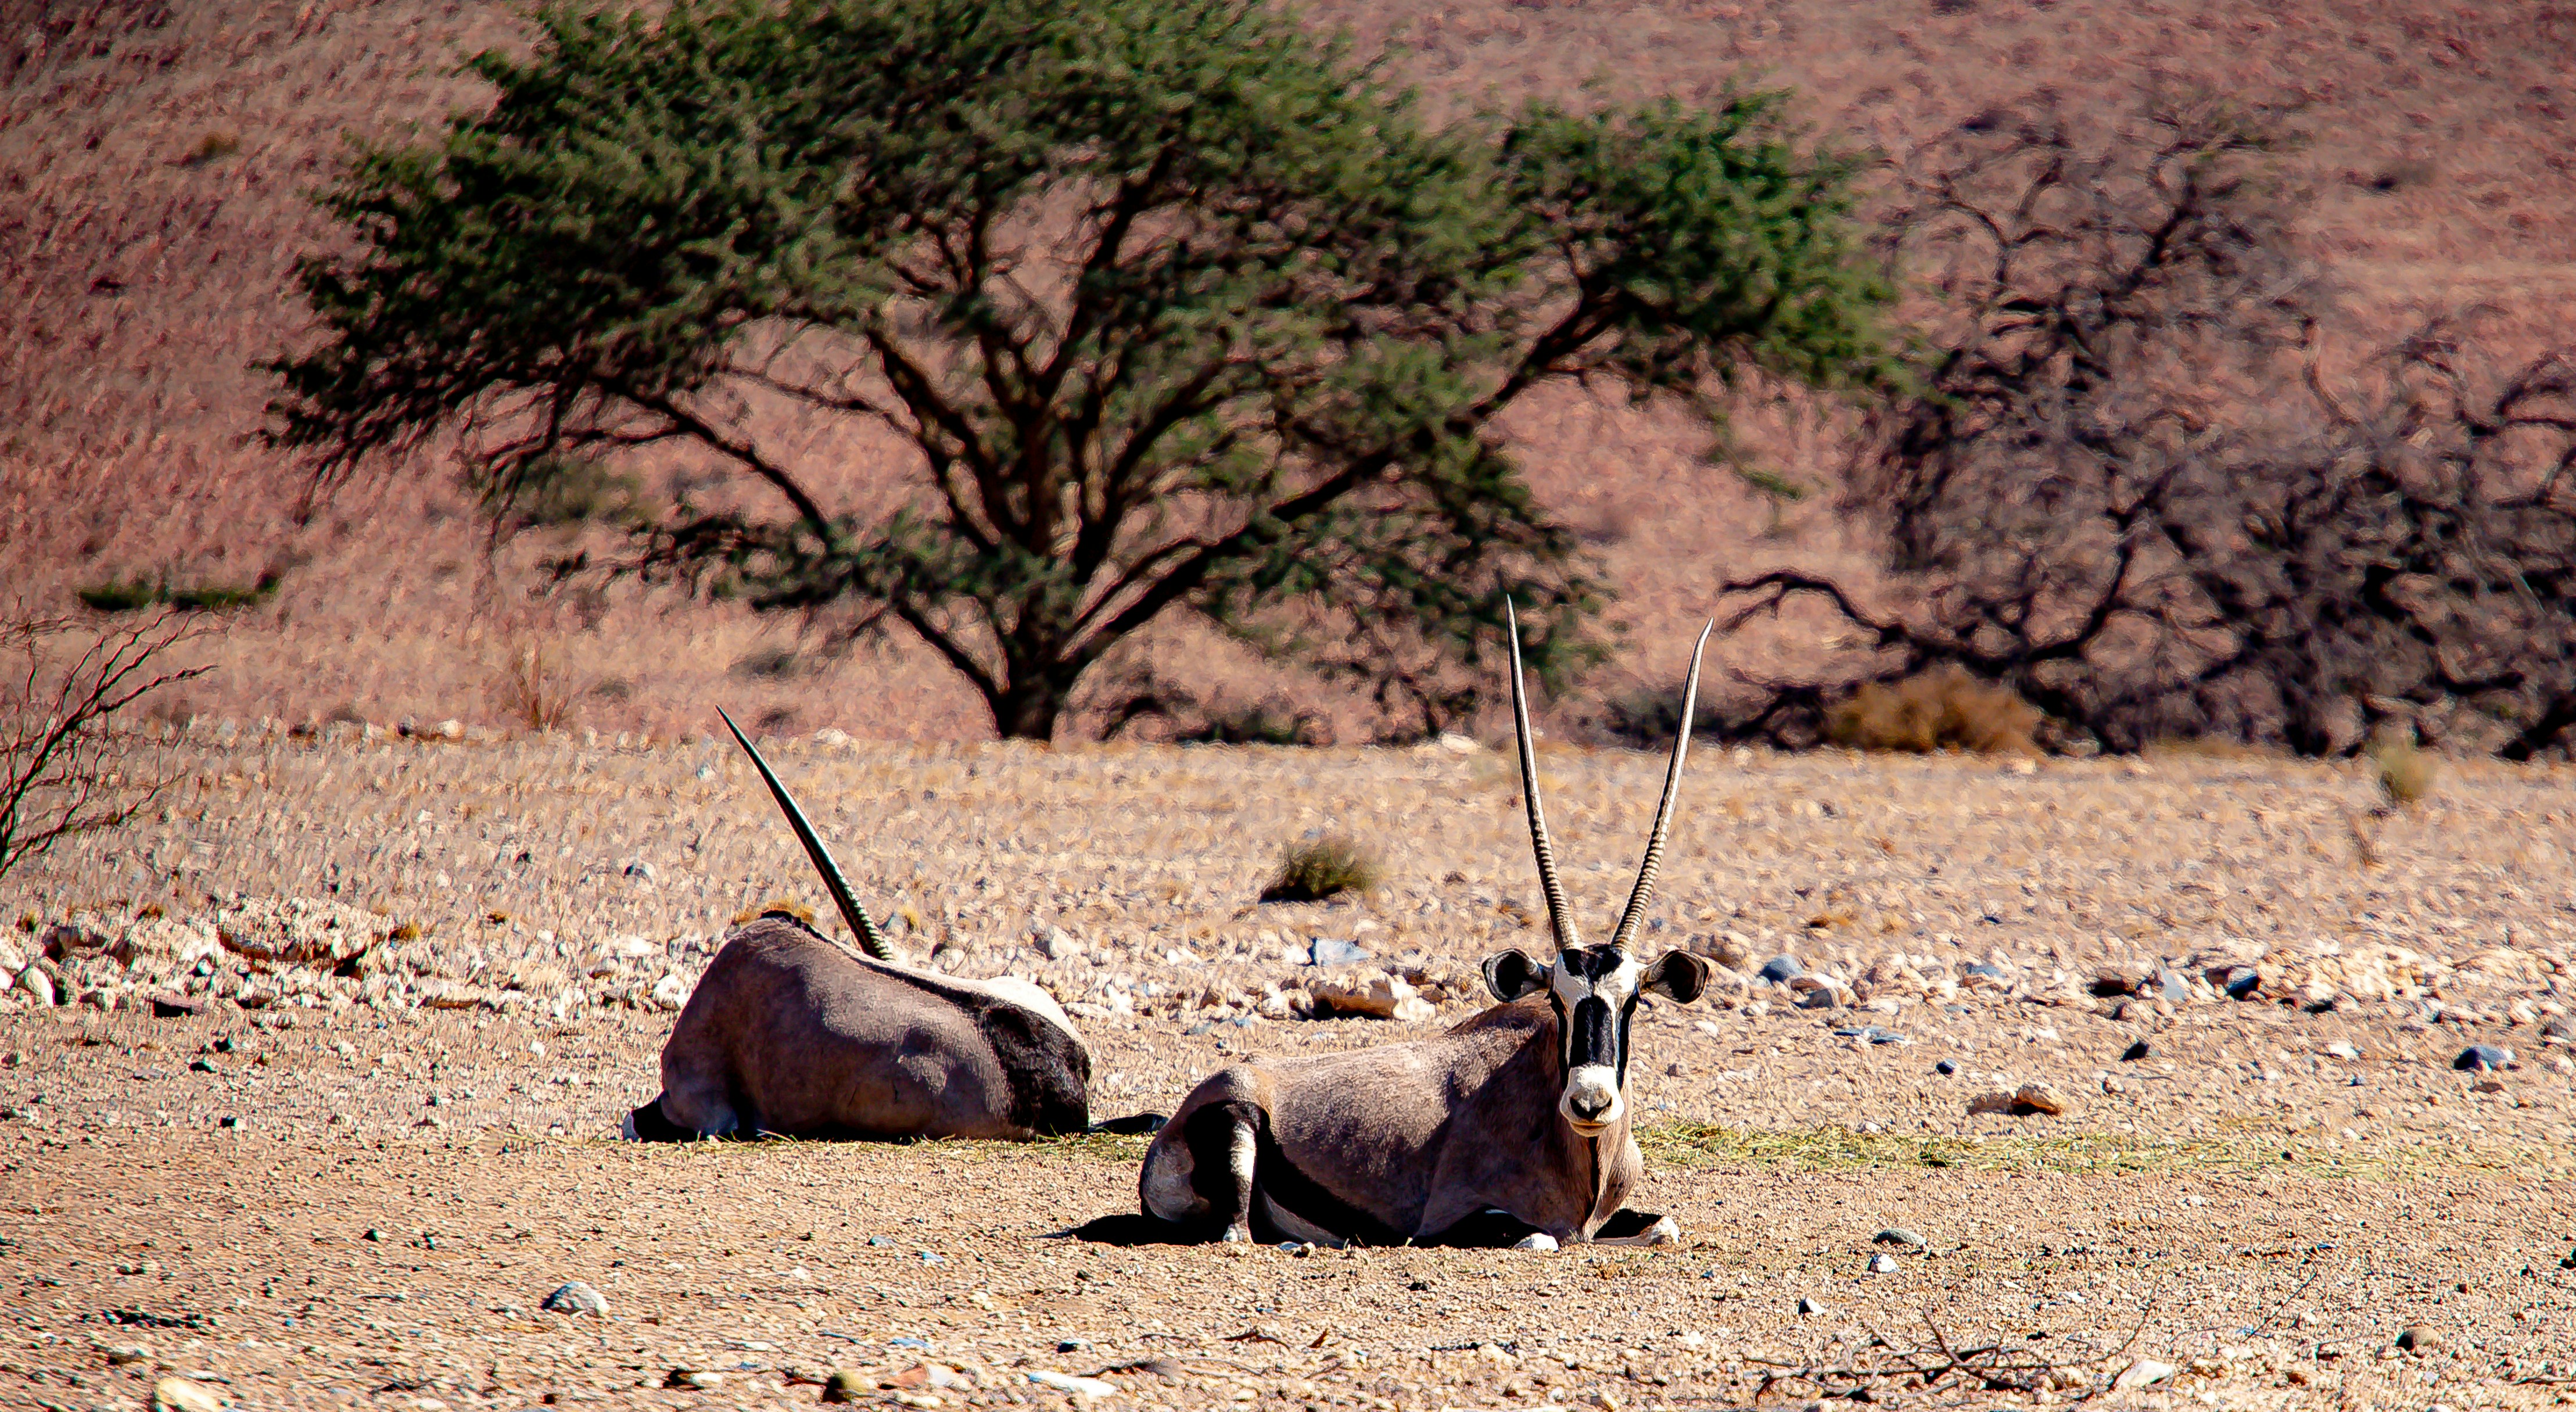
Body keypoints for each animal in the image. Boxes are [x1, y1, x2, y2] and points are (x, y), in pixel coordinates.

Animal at [1127, 609, 1714, 1249]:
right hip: (1239, 1123)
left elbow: (1665, 1227)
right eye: (1558, 1002)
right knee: (1239, 1233)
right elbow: (1541, 1236)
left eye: (1632, 1001)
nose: (1589, 1102)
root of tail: (1172, 1130)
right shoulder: (1457, 1219)